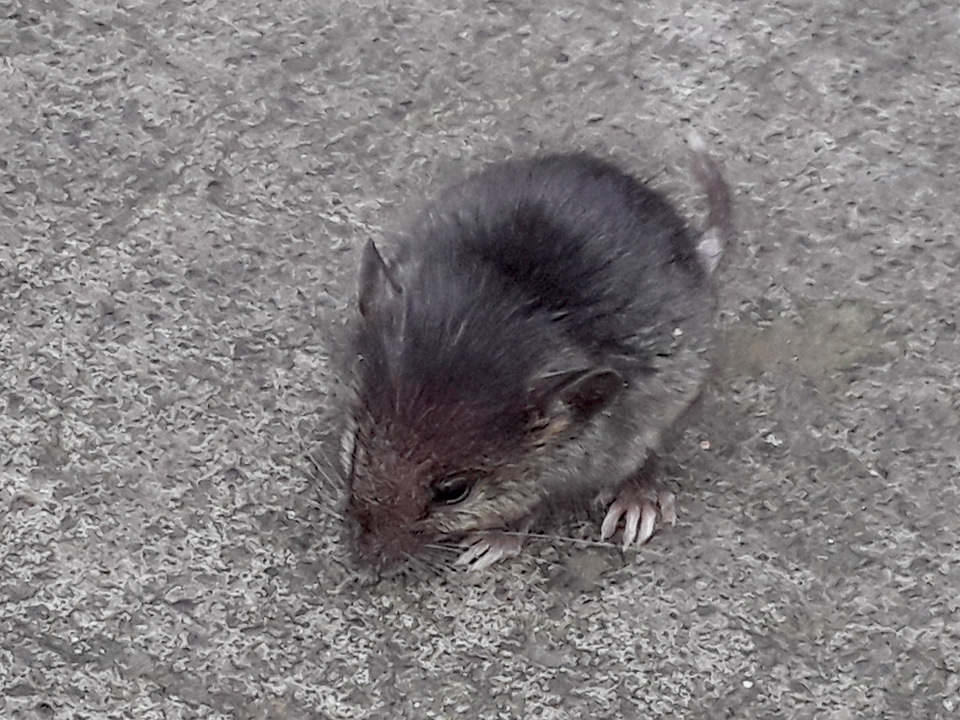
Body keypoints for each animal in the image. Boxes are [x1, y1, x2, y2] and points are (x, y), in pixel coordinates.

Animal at [343, 134, 733, 570]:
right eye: (355, 442)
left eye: (454, 491)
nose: (365, 560)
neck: (510, 301)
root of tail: (693, 248)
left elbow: (533, 505)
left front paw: (489, 544)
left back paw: (637, 501)